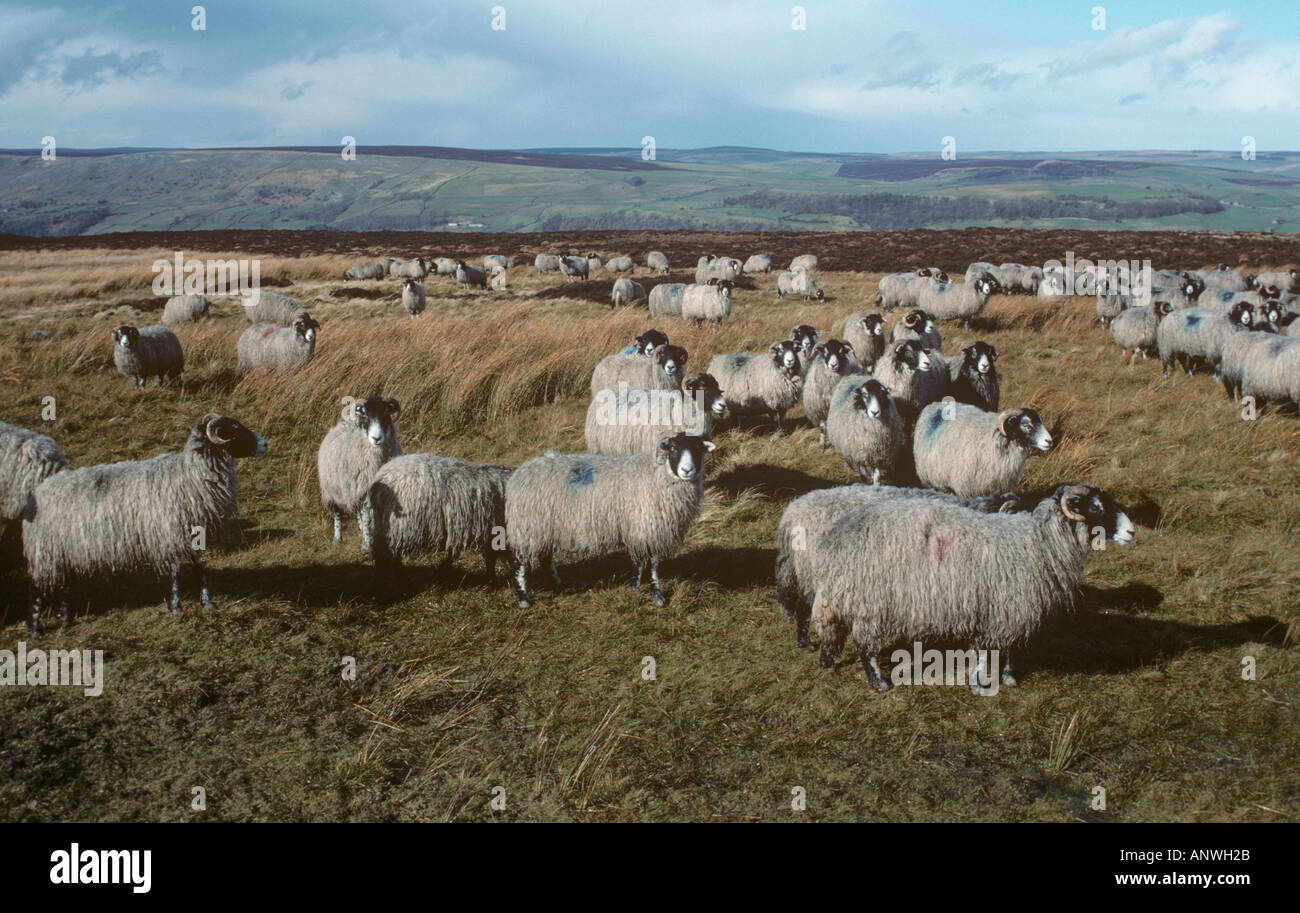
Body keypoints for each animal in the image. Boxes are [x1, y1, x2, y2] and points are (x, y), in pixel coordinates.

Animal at [21, 413, 267, 634]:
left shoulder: (193, 533)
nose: (265, 444)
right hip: (45, 551)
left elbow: (199, 568)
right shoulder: (169, 534)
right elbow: (175, 572)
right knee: (35, 587)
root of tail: (39, 492)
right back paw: (35, 629)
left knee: (64, 584)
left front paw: (207, 603)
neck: (190, 476)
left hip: (63, 551)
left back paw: (65, 619)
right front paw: (177, 607)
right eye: (234, 430)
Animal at [317, 396, 402, 551]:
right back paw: (337, 538)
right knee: (338, 514)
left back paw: (359, 529)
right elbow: (367, 519)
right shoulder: (364, 490)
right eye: (365, 415)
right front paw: (366, 547)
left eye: (385, 413)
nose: (376, 438)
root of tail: (344, 423)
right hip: (331, 490)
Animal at [368, 454, 512, 602]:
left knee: (384, 558)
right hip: (400, 528)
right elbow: (490, 560)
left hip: (386, 528)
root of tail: (383, 476)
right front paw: (493, 583)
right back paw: (399, 589)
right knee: (390, 560)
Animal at [504, 432, 714, 608]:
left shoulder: (643, 528)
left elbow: (643, 561)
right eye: (673, 449)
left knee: (545, 557)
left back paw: (557, 585)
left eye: (698, 449)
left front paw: (636, 587)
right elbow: (650, 562)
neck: (658, 475)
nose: (687, 470)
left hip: (544, 526)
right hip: (527, 525)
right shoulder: (647, 525)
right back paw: (523, 598)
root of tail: (520, 473)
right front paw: (654, 594)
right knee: (517, 562)